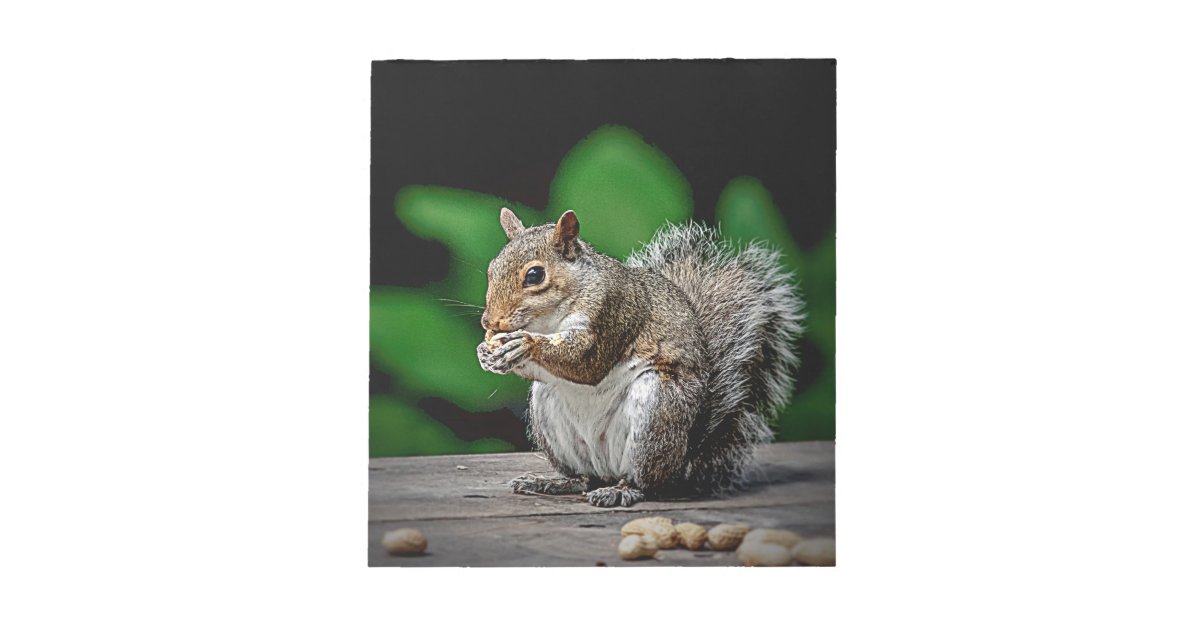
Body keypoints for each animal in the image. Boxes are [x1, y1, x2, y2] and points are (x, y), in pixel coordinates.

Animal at [476, 207, 804, 507]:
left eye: (535, 275)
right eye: (491, 268)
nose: (489, 322)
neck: (548, 321)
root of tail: (683, 459)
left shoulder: (614, 312)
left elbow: (586, 363)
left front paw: (524, 344)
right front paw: (486, 354)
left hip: (656, 412)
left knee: (645, 482)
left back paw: (622, 491)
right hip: (550, 413)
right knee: (583, 478)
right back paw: (552, 482)